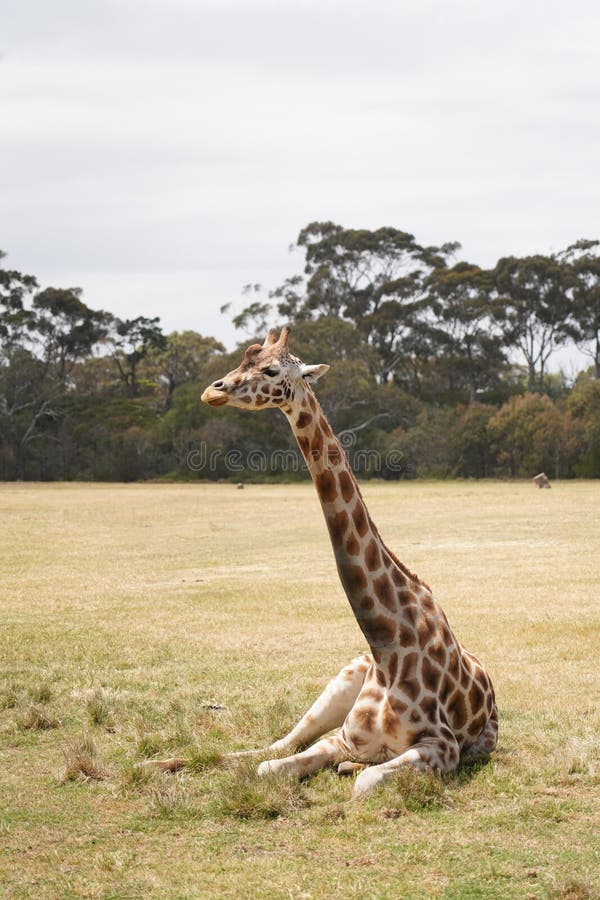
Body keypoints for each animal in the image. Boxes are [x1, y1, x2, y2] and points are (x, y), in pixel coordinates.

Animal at [197, 326, 498, 797]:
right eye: (244, 358)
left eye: (271, 370)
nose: (214, 390)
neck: (387, 644)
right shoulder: (343, 736)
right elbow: (271, 768)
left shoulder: (443, 747)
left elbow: (366, 781)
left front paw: (351, 771)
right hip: (339, 681)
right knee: (275, 744)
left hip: (481, 743)